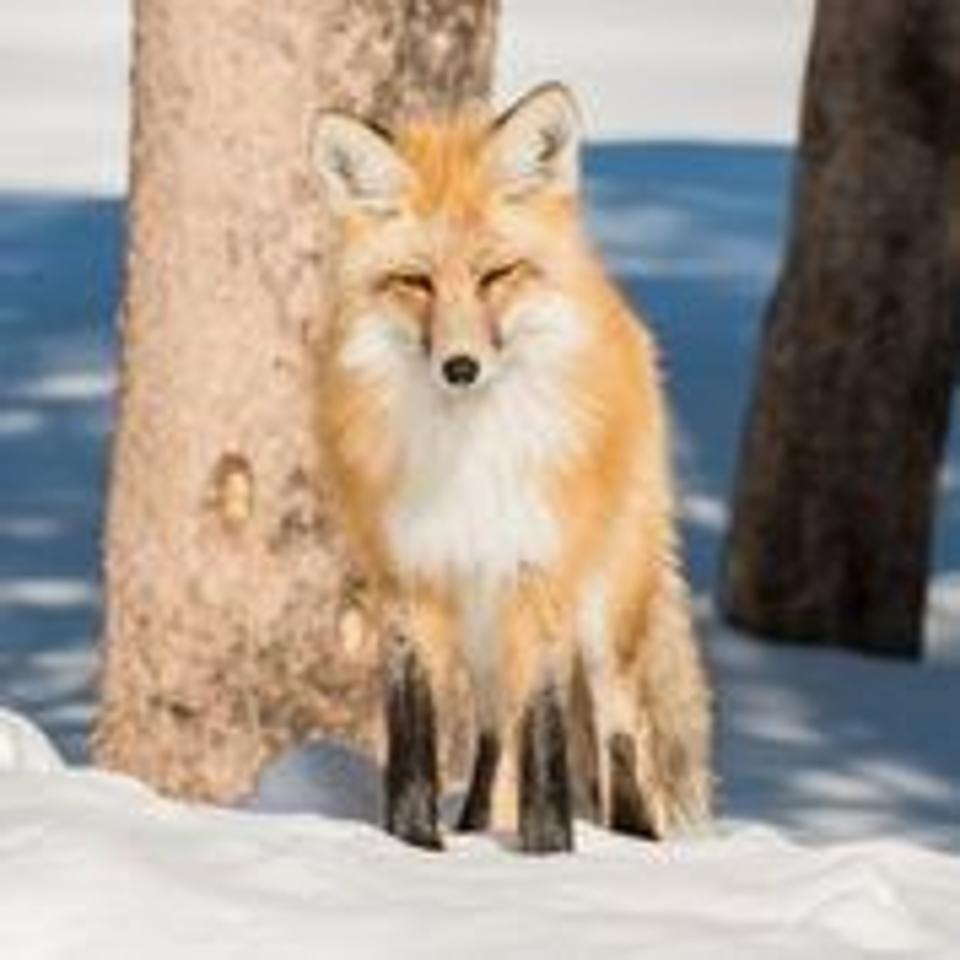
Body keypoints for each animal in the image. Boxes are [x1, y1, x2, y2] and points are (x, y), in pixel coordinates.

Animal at [310, 83, 712, 853]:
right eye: (415, 282)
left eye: (497, 275)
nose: (461, 368)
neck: (469, 453)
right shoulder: (409, 582)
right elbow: (414, 743)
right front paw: (415, 847)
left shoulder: (540, 576)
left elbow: (547, 744)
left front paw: (547, 856)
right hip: (480, 628)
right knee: (494, 737)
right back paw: (472, 827)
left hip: (603, 612)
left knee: (620, 738)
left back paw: (636, 841)